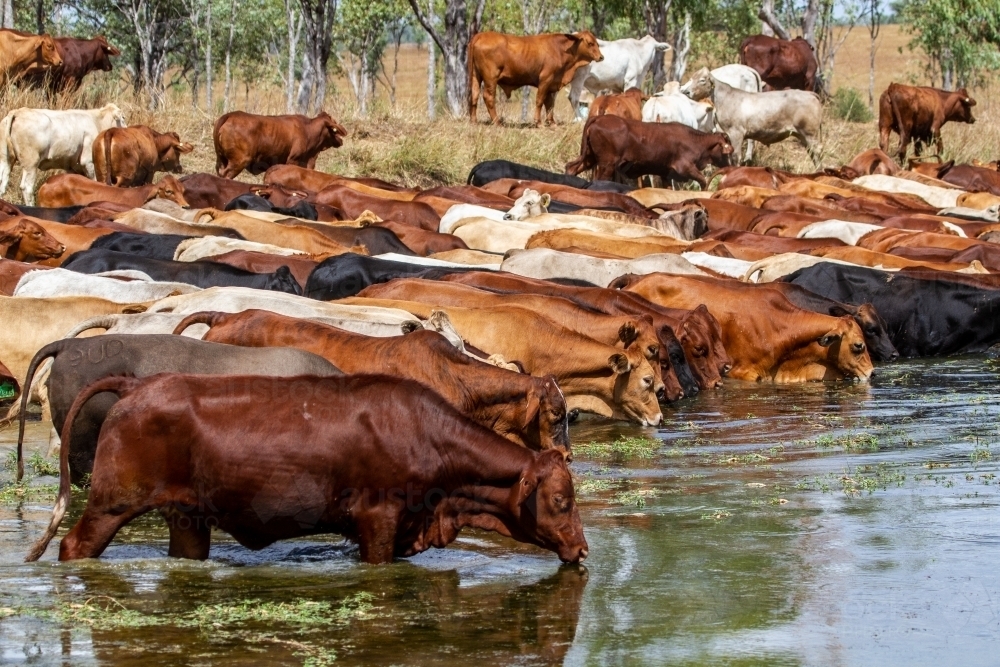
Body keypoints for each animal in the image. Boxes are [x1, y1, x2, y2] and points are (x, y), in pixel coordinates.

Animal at [26, 374, 587, 564]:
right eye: (562, 500)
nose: (583, 550)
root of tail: (138, 385)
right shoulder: (378, 521)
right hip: (110, 503)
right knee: (72, 546)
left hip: (188, 518)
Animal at [468, 31, 603, 125]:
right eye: (590, 43)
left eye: (597, 43)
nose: (601, 57)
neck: (560, 50)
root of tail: (480, 35)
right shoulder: (545, 79)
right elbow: (540, 101)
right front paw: (538, 122)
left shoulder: (552, 83)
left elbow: (550, 104)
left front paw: (552, 123)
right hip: (491, 78)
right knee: (488, 97)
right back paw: (497, 122)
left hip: (475, 76)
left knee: (474, 95)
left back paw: (474, 121)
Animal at [565, 115, 733, 188]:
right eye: (727, 151)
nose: (731, 166)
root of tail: (599, 118)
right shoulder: (685, 167)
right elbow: (704, 181)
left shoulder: (665, 173)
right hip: (607, 164)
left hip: (589, 157)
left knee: (571, 168)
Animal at [683, 72, 822, 165]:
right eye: (691, 78)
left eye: (702, 80)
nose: (686, 92)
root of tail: (809, 94)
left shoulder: (736, 133)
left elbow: (735, 156)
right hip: (804, 136)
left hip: (811, 135)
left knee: (818, 153)